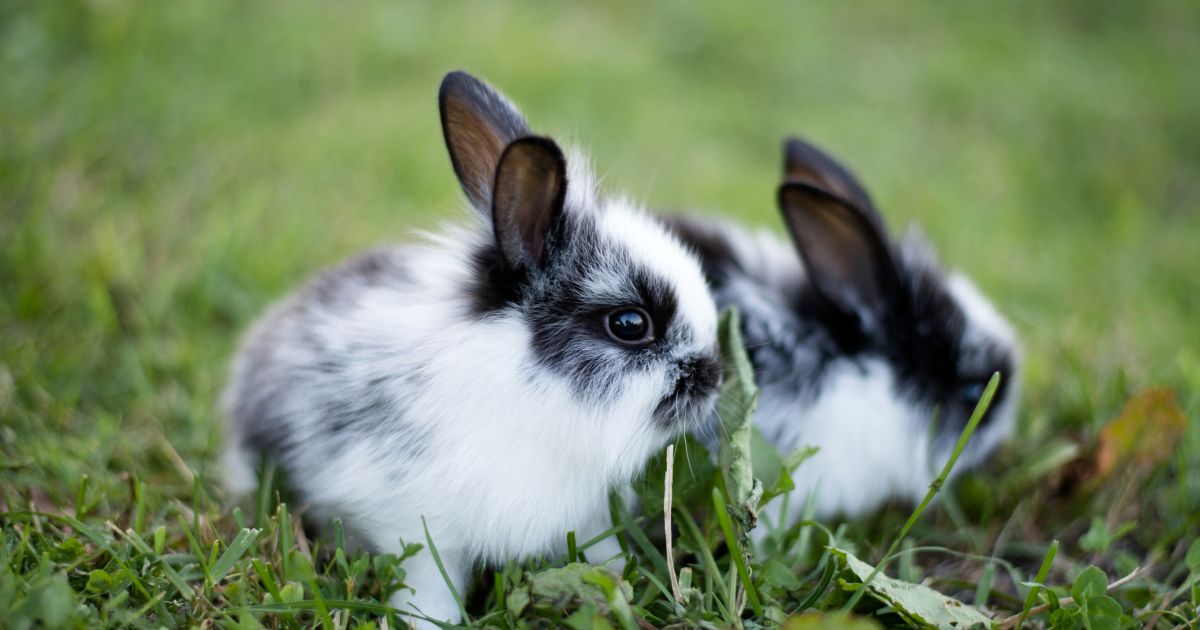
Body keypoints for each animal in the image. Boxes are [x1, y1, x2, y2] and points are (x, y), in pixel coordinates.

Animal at [221, 71, 722, 625]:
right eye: (630, 324)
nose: (714, 376)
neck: (530, 397)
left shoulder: (589, 515)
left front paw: (619, 580)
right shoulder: (416, 526)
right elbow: (429, 583)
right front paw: (429, 621)